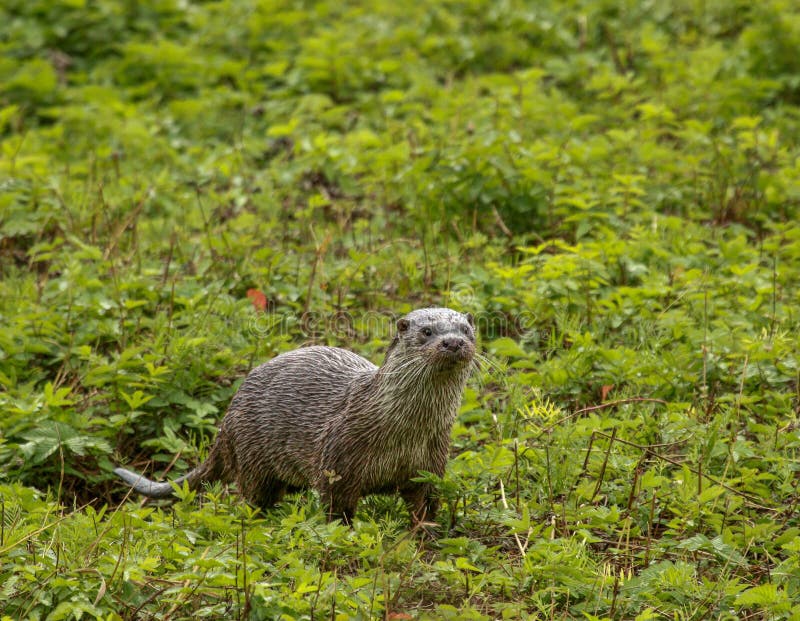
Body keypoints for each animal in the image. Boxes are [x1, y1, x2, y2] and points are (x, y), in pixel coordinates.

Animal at [114, 307, 476, 525]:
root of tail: (227, 420)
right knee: (254, 496)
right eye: (427, 332)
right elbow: (336, 508)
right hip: (253, 457)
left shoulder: (431, 462)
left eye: (466, 330)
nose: (453, 342)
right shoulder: (337, 462)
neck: (400, 432)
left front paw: (426, 532)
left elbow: (425, 503)